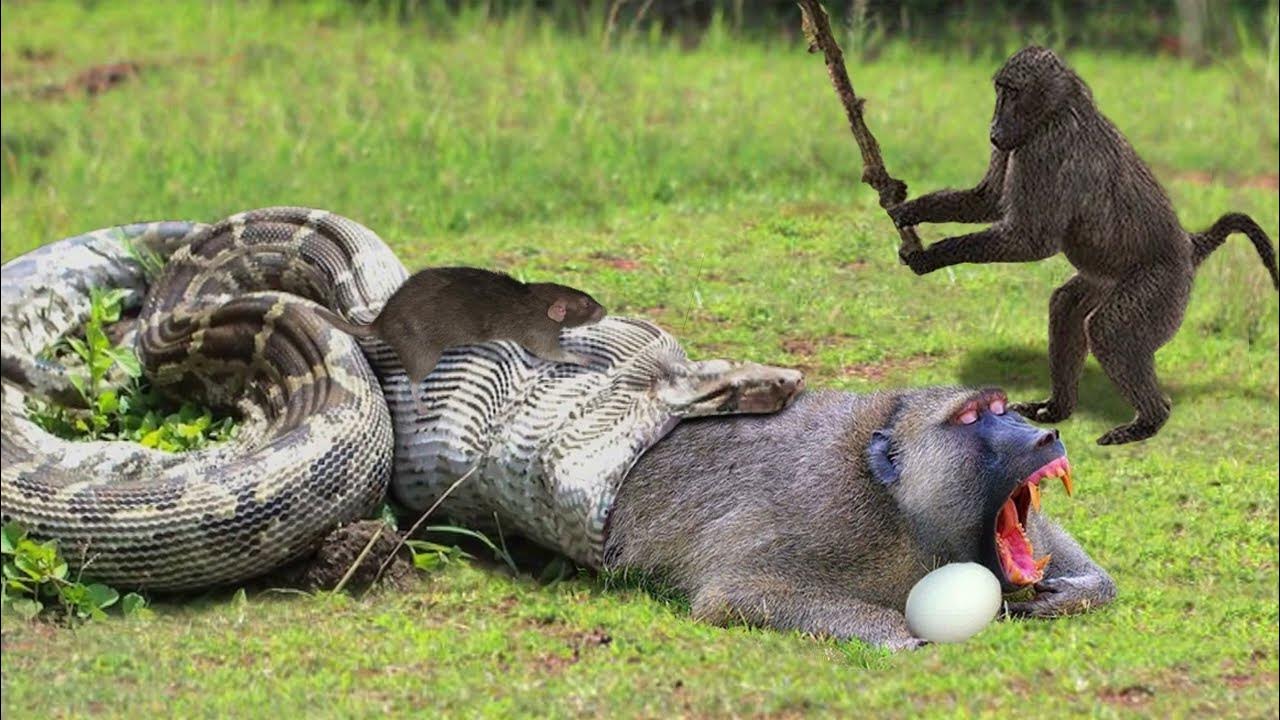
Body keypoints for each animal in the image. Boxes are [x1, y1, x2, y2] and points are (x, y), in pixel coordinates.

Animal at [314, 267, 607, 410]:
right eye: (586, 304)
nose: (604, 310)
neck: (536, 298)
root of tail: (380, 322)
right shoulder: (538, 331)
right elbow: (549, 352)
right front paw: (582, 357)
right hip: (422, 352)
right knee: (413, 380)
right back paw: (420, 403)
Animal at [604, 386, 1115, 650]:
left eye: (1002, 410)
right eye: (971, 418)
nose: (1046, 436)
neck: (902, 513)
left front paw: (1082, 590)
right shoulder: (828, 515)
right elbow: (728, 597)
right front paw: (897, 633)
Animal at [886, 46, 1280, 446]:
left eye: (1011, 92)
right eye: (999, 89)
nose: (994, 130)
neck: (1060, 106)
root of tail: (1190, 245)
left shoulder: (1045, 147)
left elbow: (1032, 240)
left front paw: (927, 256)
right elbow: (987, 200)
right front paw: (906, 210)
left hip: (1160, 285)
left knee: (1109, 330)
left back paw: (1148, 421)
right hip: (1106, 280)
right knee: (1065, 307)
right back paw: (1055, 409)